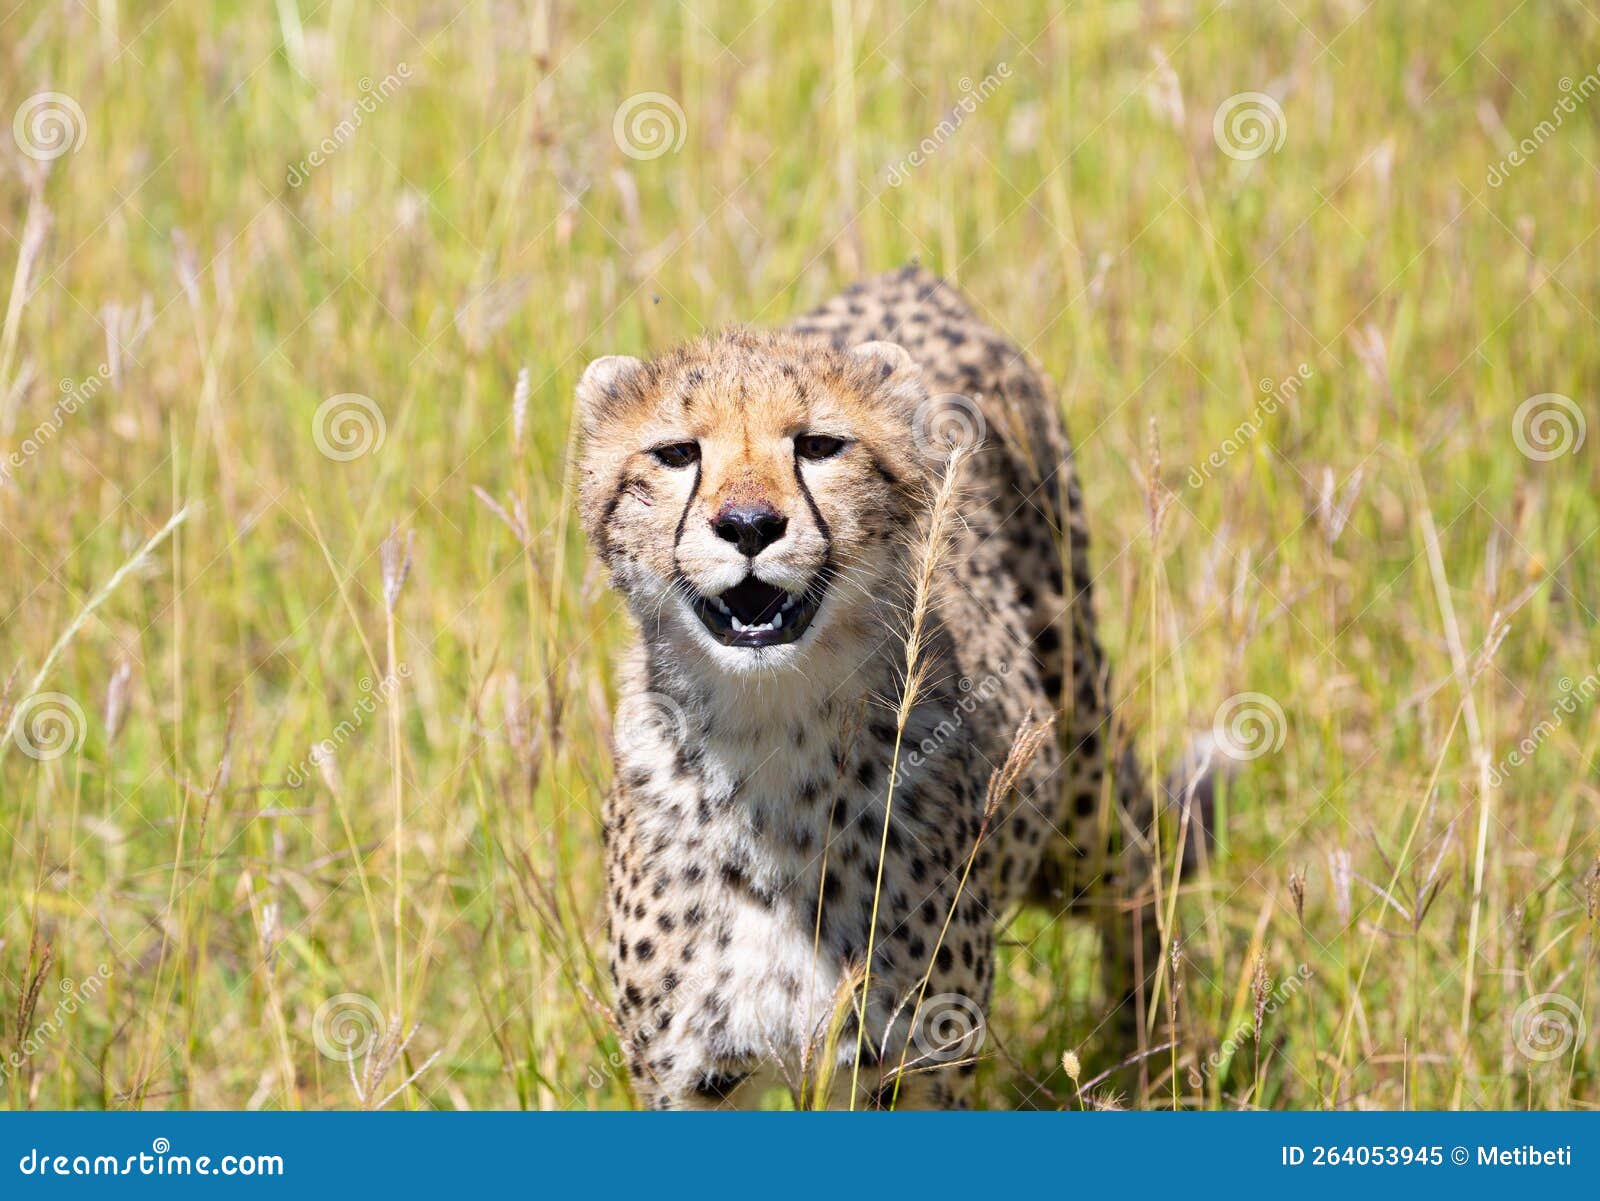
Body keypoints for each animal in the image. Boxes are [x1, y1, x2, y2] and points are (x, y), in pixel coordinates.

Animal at [576, 265, 1211, 1109]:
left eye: (819, 445)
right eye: (677, 453)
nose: (748, 523)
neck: (768, 738)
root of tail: (911, 276)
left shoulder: (914, 1064)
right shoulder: (689, 1080)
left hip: (1080, 767)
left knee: (1140, 876)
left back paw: (1155, 1058)